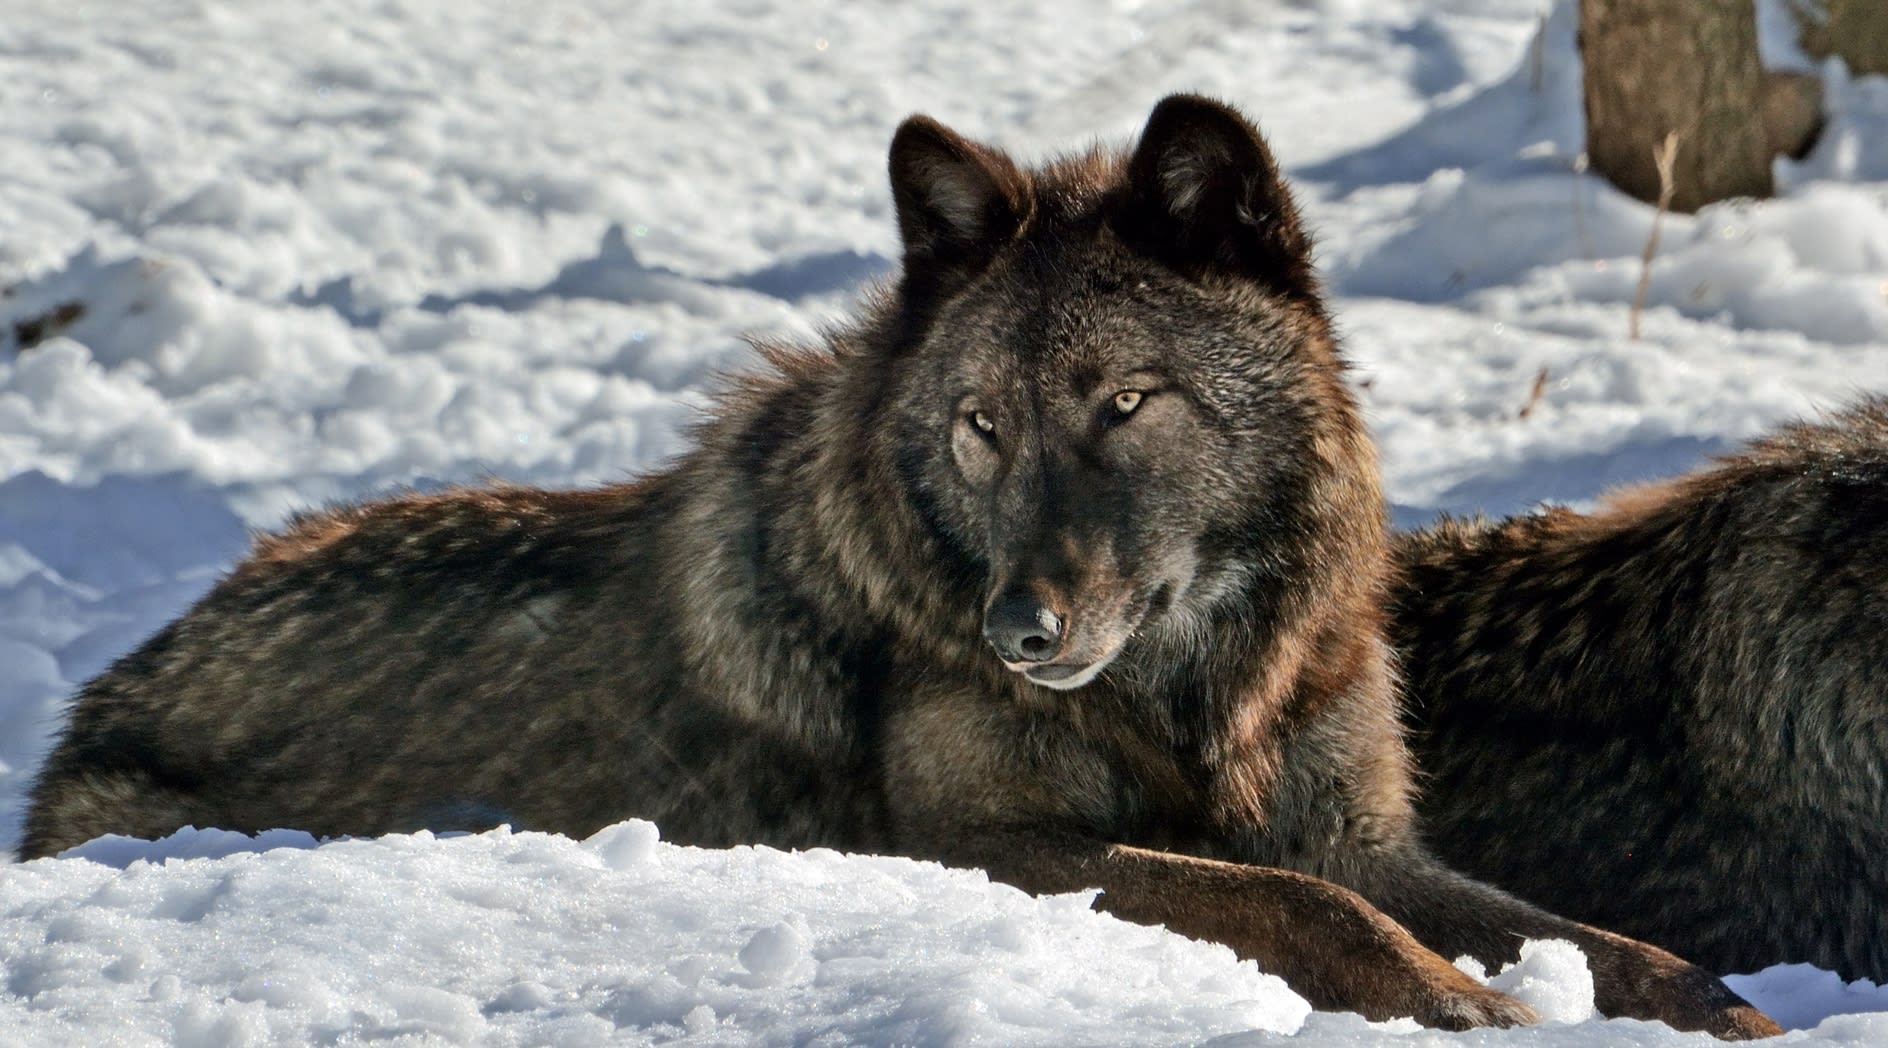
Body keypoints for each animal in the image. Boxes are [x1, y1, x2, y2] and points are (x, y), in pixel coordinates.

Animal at [21, 96, 1777, 1037]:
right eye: (986, 425)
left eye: (1123, 404)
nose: (1017, 630)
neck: (1190, 689)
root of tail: (112, 686)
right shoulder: (980, 847)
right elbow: (1282, 899)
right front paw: (1460, 1002)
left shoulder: (1356, 829)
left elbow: (1587, 932)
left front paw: (1725, 1008)